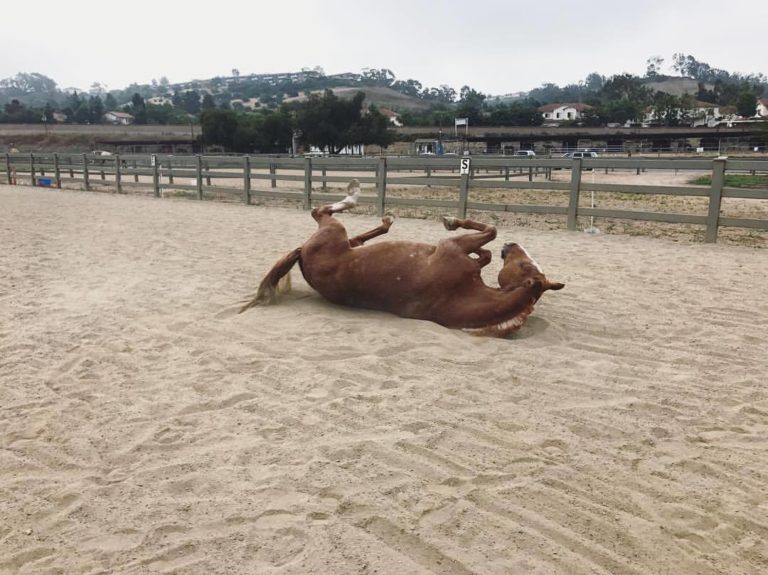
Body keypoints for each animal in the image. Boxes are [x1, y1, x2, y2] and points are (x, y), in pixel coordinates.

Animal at [240, 180, 564, 337]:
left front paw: (451, 220)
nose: (512, 245)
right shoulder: (453, 247)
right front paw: (454, 222)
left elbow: (488, 236)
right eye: (527, 264)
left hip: (335, 232)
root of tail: (302, 254)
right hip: (339, 235)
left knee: (323, 213)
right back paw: (366, 204)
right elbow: (487, 240)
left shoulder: (453, 248)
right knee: (330, 217)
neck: (462, 293)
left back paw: (363, 202)